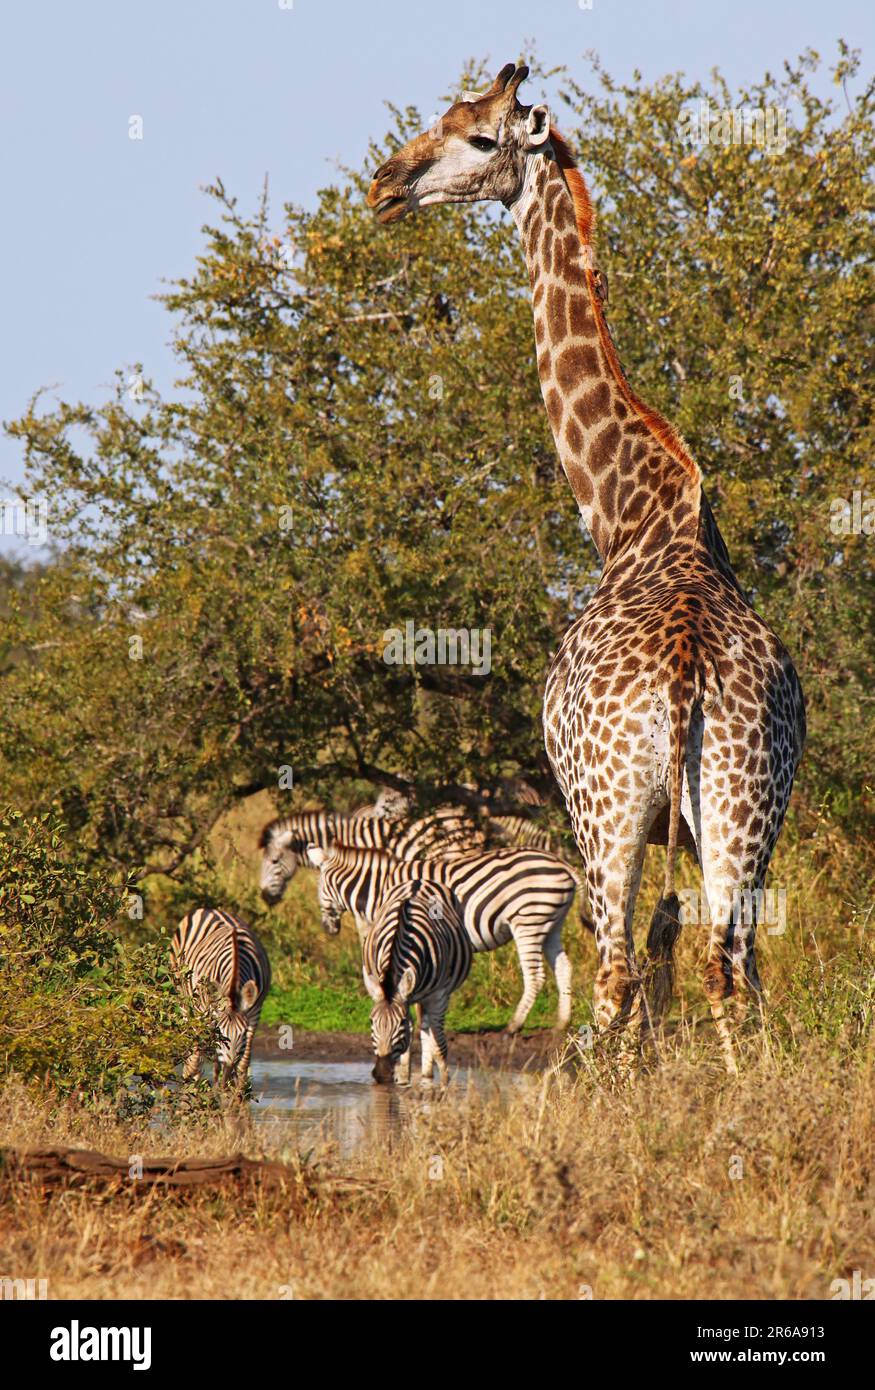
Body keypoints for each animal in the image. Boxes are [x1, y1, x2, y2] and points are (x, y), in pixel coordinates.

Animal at [171, 907, 271, 1087]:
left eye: (242, 1034)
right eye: (220, 1032)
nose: (228, 1070)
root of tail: (206, 909)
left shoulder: (254, 1013)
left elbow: (243, 1063)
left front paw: (235, 1092)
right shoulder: (205, 1013)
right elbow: (198, 1055)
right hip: (185, 1000)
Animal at [306, 842, 579, 1032]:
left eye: (318, 887)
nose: (328, 929)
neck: (379, 887)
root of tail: (563, 864)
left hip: (528, 919)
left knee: (535, 976)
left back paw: (514, 1025)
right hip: (551, 924)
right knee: (564, 967)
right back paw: (562, 1023)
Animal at [362, 879, 471, 1086]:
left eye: (401, 1022)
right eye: (371, 1021)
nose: (381, 1074)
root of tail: (419, 880)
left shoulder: (438, 997)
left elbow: (439, 1047)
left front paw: (445, 1084)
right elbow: (410, 1040)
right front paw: (401, 1078)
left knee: (427, 1029)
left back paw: (427, 1075)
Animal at [366, 63, 805, 1071]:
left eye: (480, 138)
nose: (385, 185)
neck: (626, 516)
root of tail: (685, 670)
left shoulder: (582, 803)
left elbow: (638, 969)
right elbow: (695, 961)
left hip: (606, 814)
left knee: (613, 972)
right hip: (744, 806)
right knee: (731, 966)